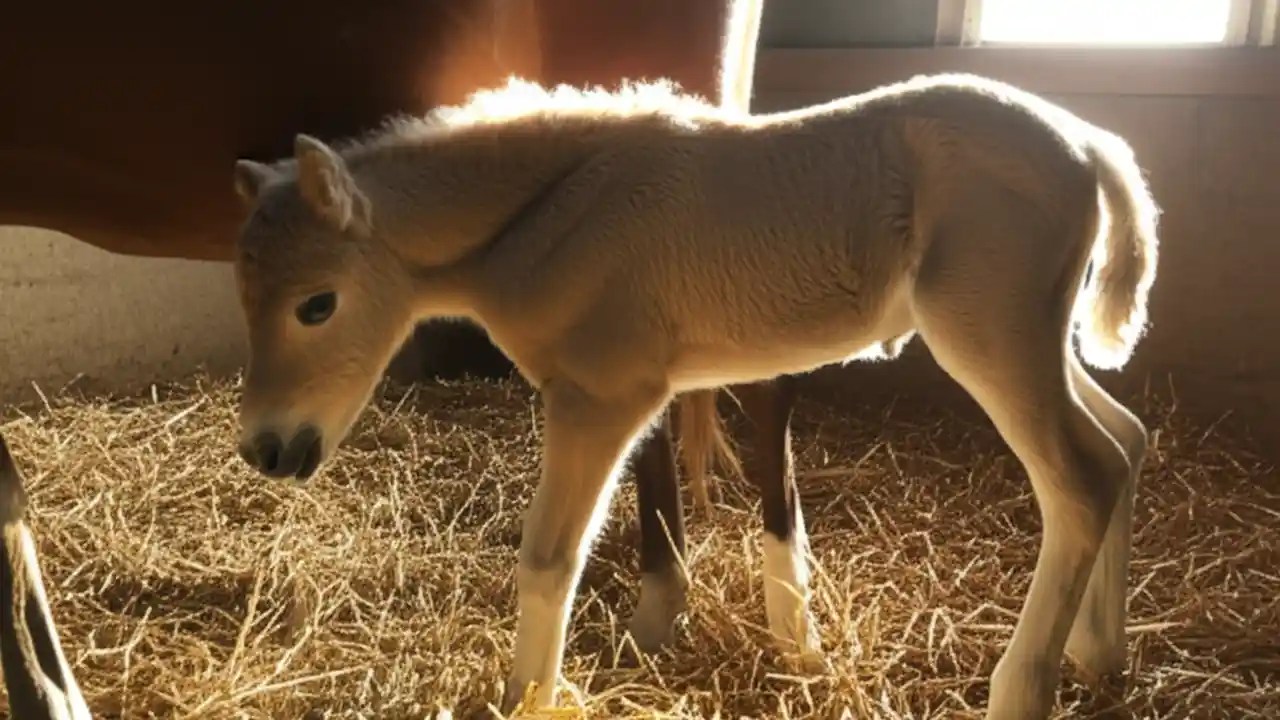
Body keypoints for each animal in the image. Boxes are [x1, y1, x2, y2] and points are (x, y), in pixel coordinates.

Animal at [227, 72, 1159, 719]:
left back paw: (1022, 687)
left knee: (1082, 477)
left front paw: (531, 695)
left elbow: (550, 555)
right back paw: (1102, 654)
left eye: (317, 305)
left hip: (992, 338)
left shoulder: (600, 397)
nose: (267, 450)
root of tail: (1087, 141)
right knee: (1124, 438)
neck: (557, 213)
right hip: (1039, 341)